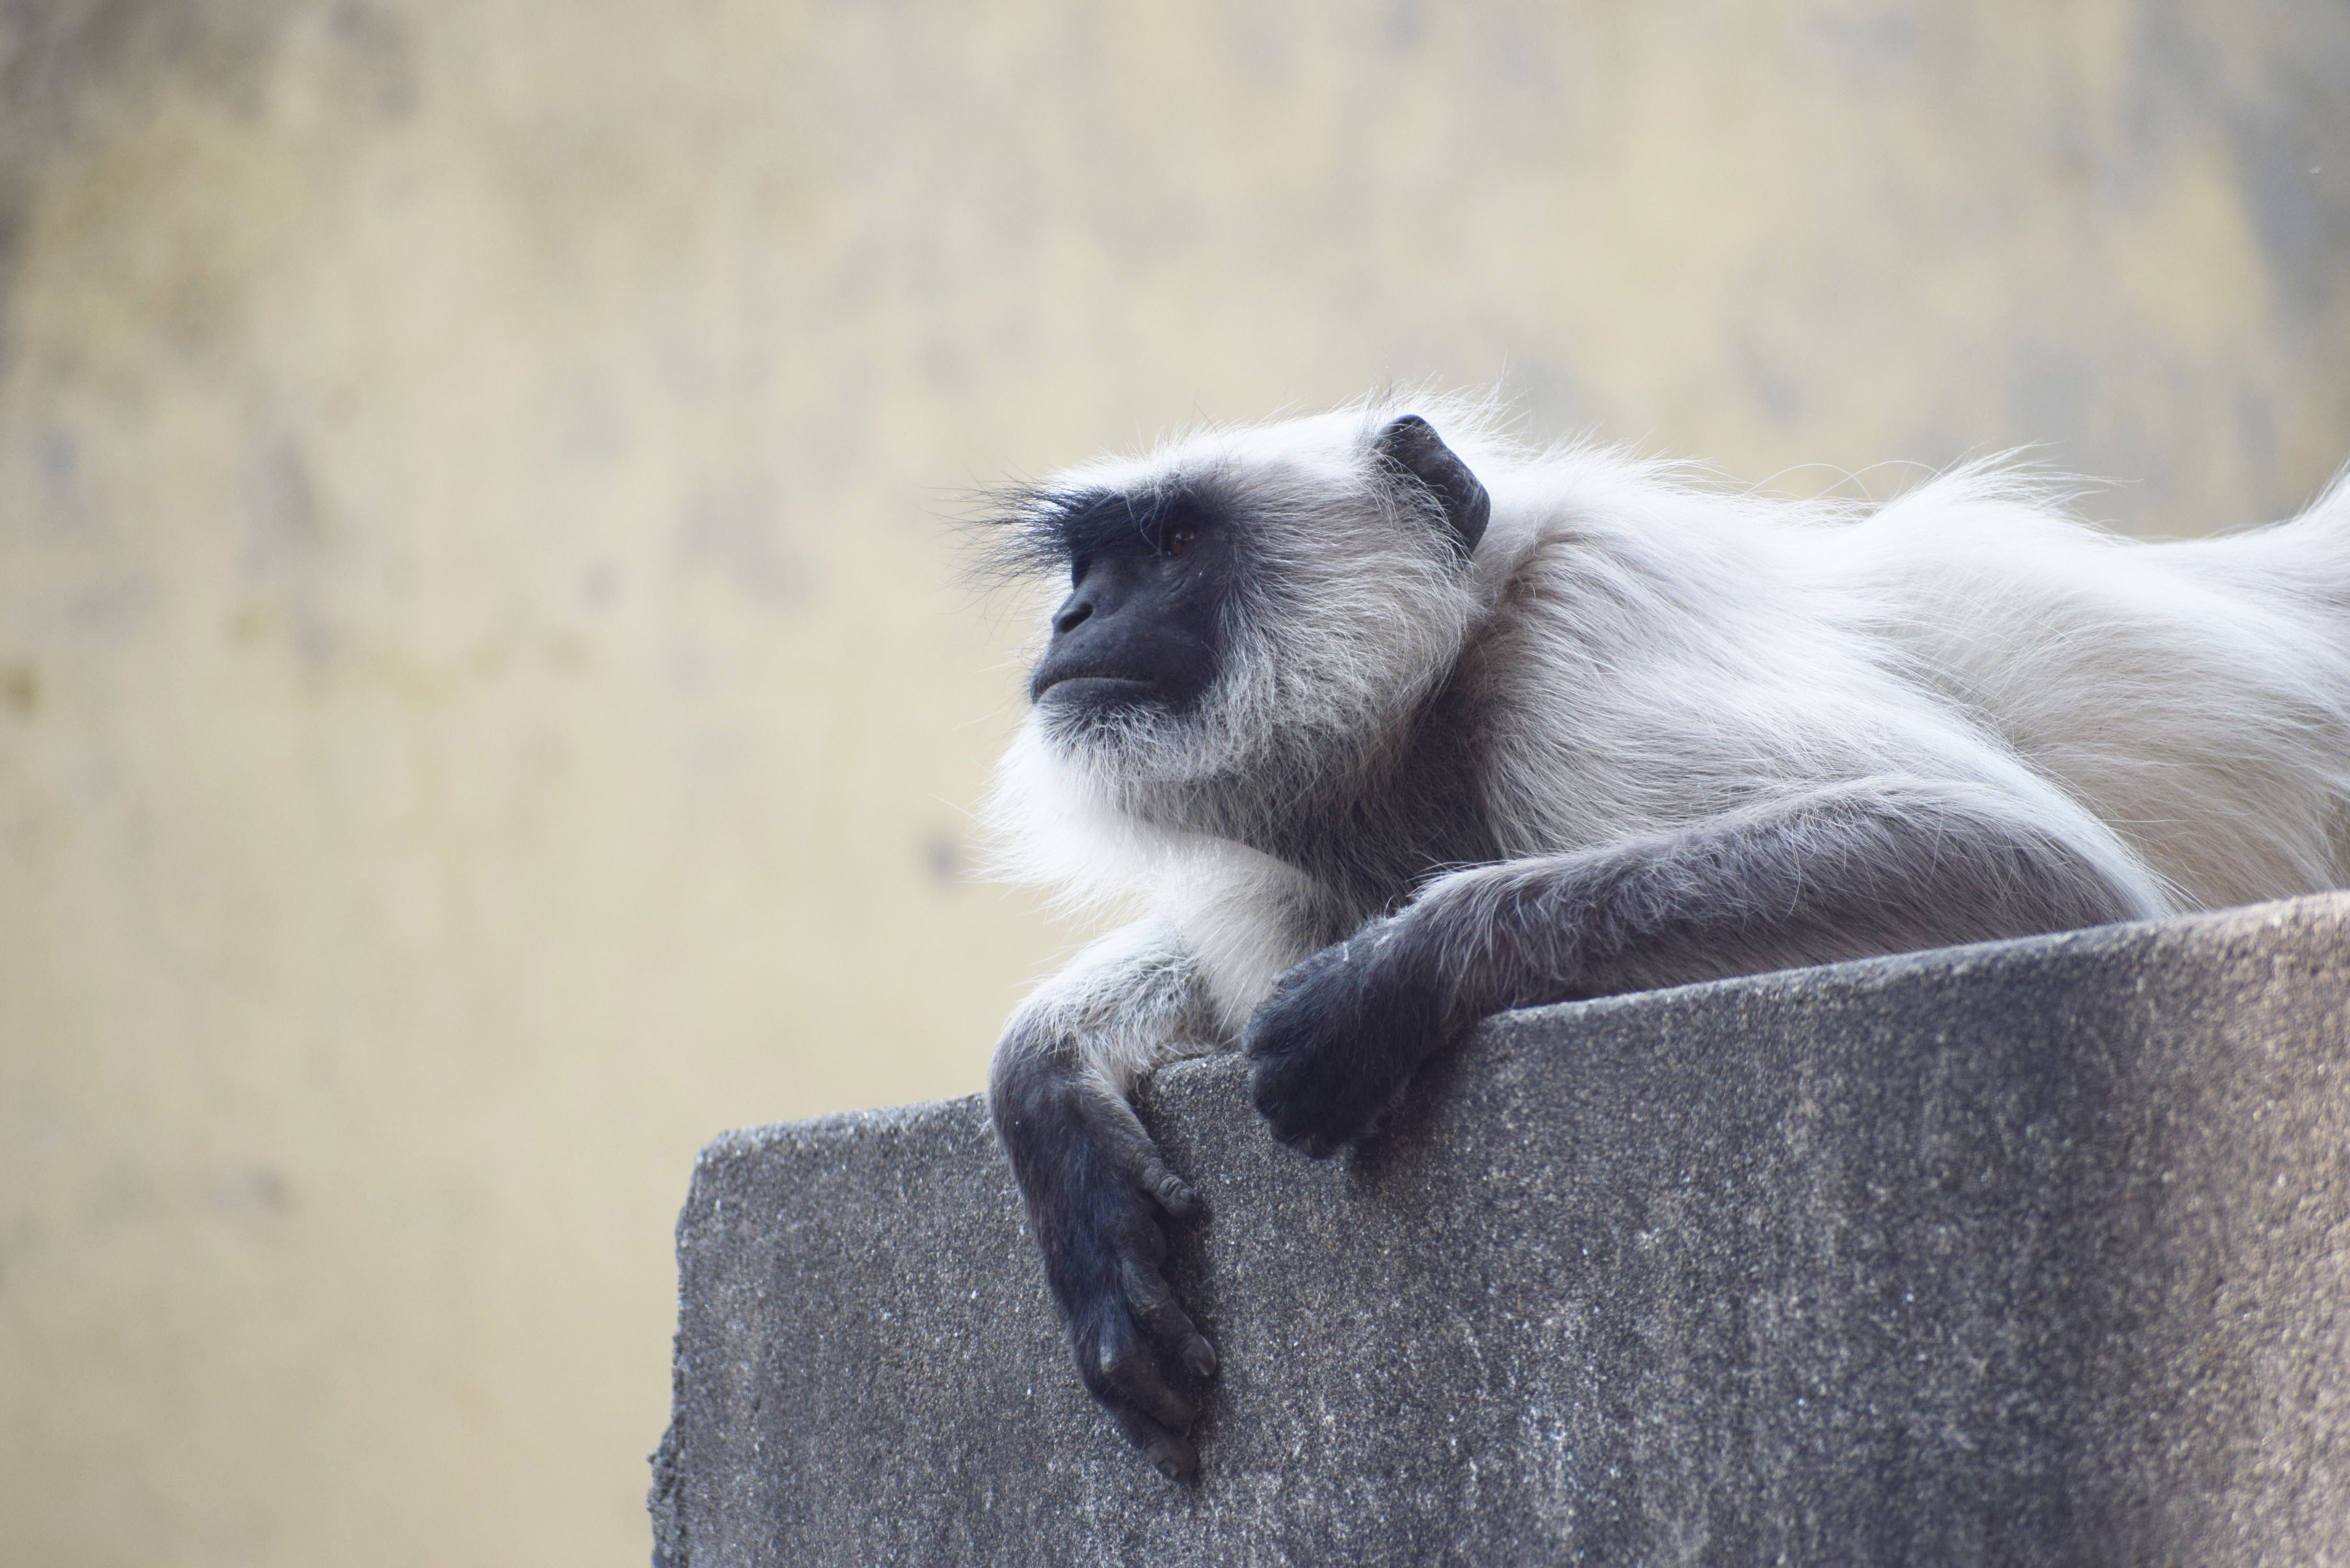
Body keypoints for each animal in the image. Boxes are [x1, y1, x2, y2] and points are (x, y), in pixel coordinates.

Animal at [975, 394, 2350, 1481]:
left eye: (1174, 544)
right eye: (1092, 561)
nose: (1075, 616)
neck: (1446, 686)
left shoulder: (1593, 645)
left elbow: (2032, 869)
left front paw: (1392, 973)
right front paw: (1055, 1106)